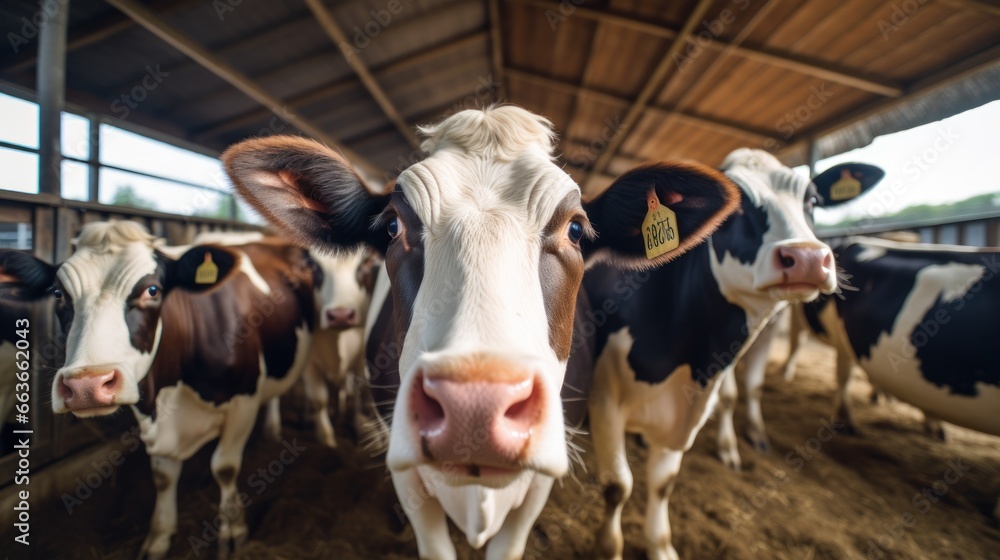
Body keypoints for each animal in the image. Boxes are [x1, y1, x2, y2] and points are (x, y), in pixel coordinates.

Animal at [7, 221, 321, 559]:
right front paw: (158, 538)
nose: (86, 385)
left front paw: (233, 532)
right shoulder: (151, 414)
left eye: (153, 290)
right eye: (58, 293)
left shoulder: (243, 401)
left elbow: (224, 467)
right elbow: (162, 476)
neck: (172, 389)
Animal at [582, 150, 882, 560]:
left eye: (812, 201)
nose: (806, 257)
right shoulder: (605, 400)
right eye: (736, 206)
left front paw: (660, 546)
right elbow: (618, 485)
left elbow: (663, 483)